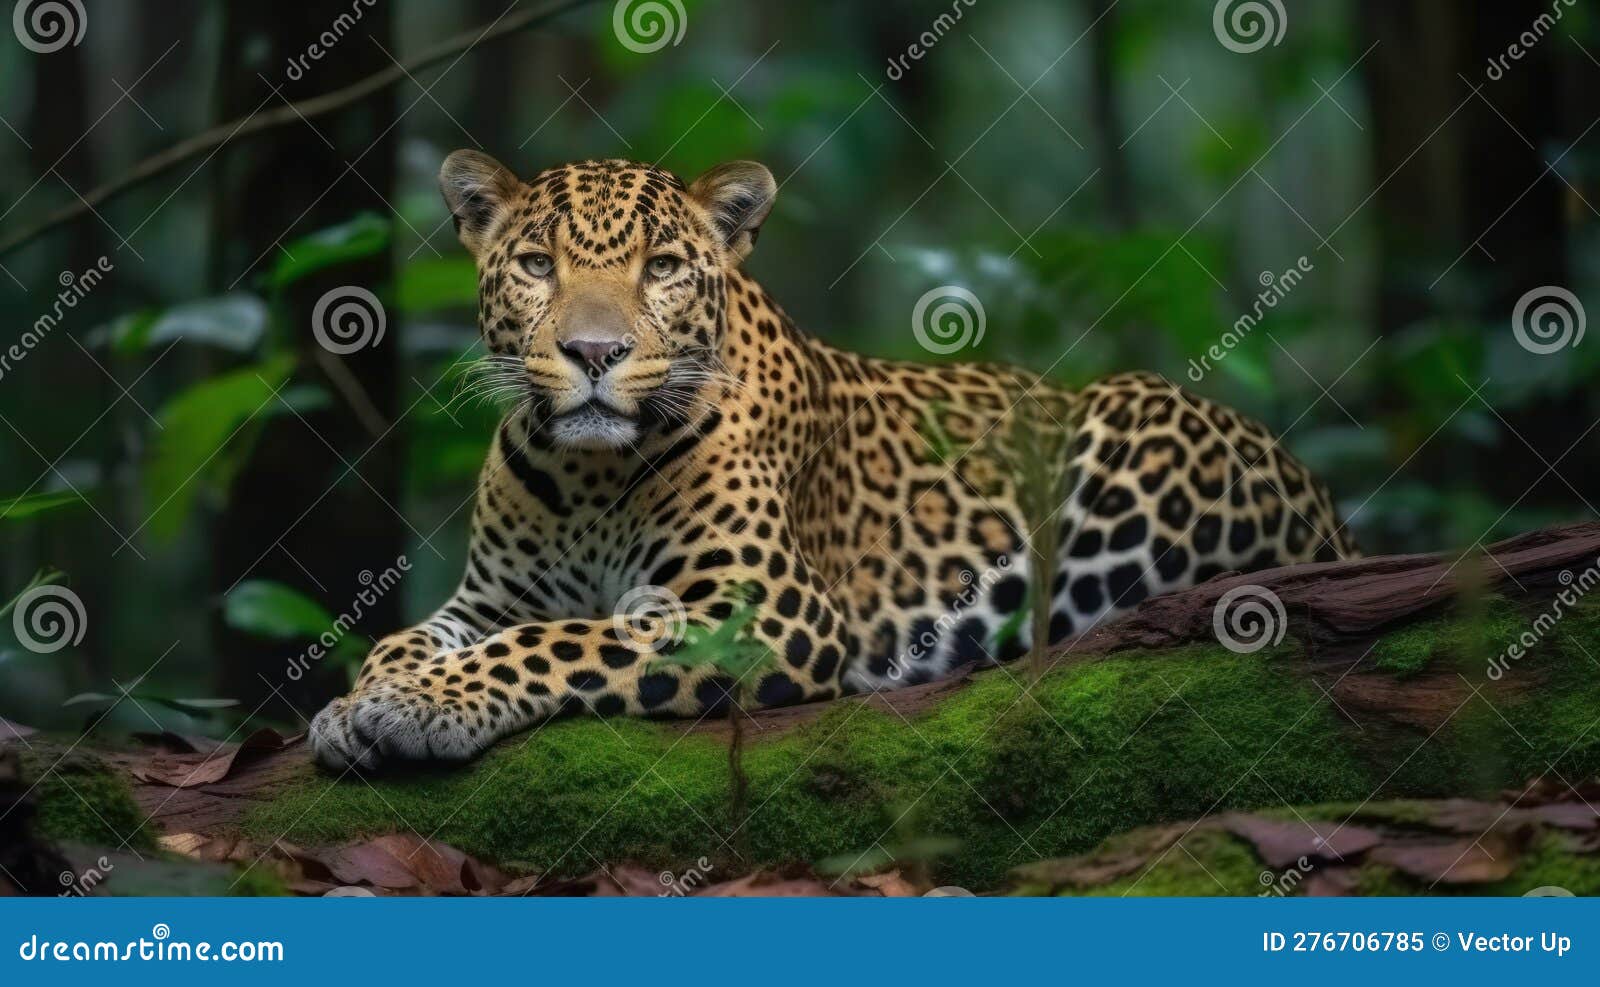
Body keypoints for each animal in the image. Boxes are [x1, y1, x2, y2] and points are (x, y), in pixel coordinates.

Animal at [309, 152, 1357, 770]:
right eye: (536, 265)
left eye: (661, 268)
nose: (594, 352)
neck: (587, 478)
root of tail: (1330, 511)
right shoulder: (489, 599)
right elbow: (406, 637)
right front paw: (358, 703)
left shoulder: (759, 610)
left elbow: (564, 639)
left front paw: (425, 704)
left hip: (1126, 435)